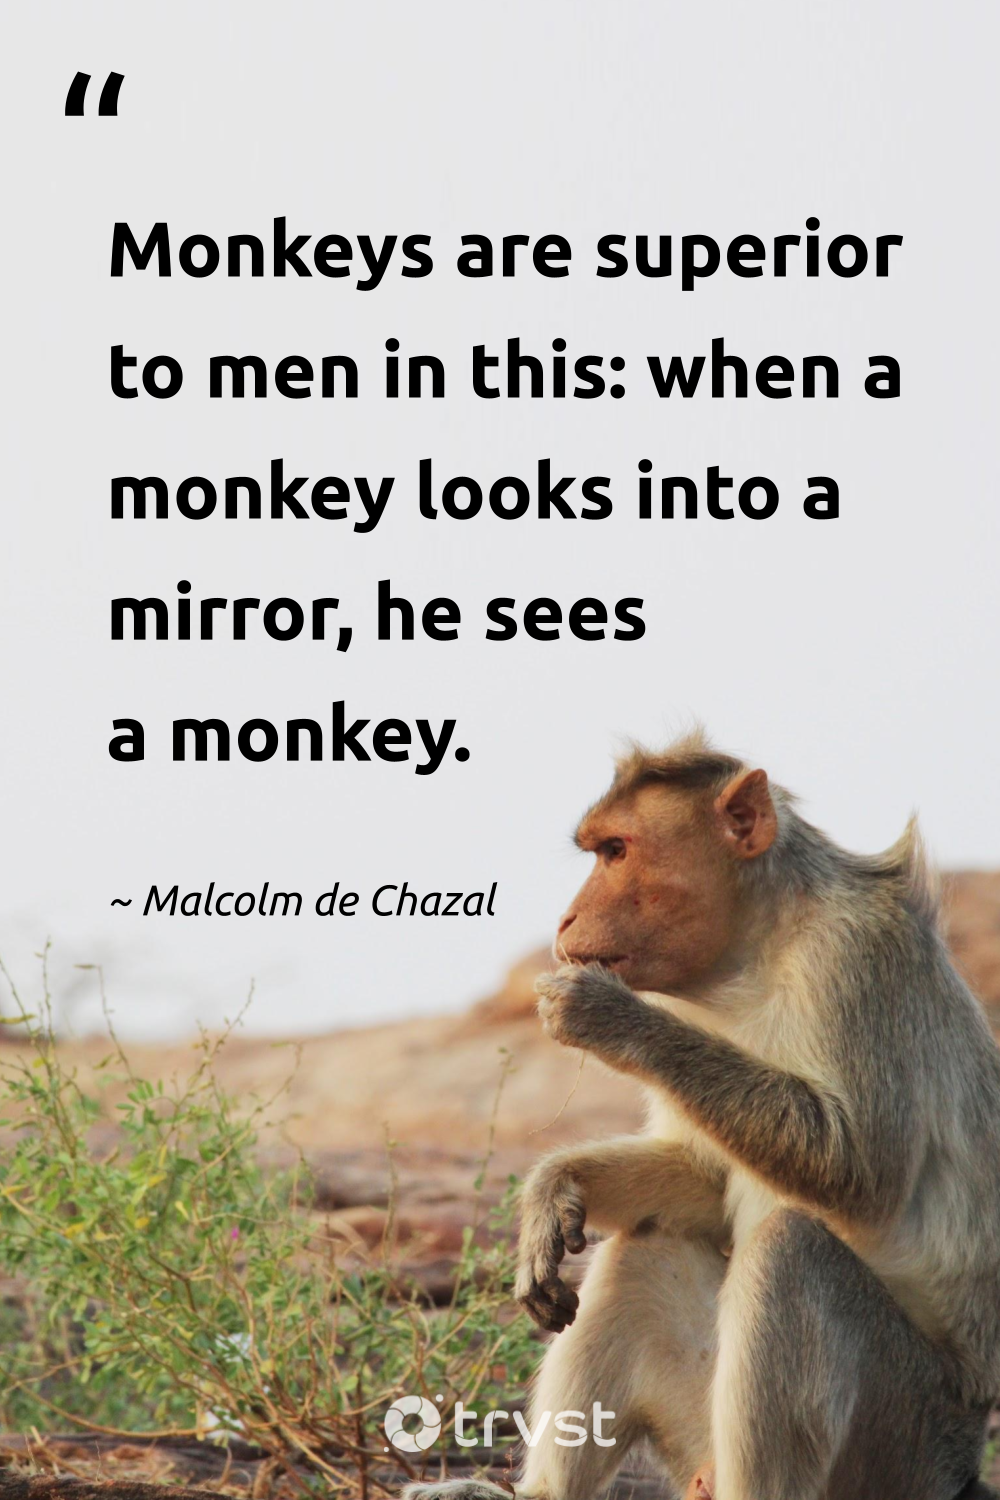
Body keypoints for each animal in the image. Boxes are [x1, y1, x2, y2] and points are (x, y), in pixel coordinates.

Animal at [402, 731, 1000, 1500]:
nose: (565, 921)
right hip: (703, 1433)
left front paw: (611, 1017)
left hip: (900, 1441)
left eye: (617, 851)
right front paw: (553, 1190)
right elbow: (706, 1182)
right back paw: (536, 1492)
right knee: (646, 1249)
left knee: (788, 1252)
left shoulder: (857, 956)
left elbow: (858, 1168)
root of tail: (958, 1468)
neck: (760, 948)